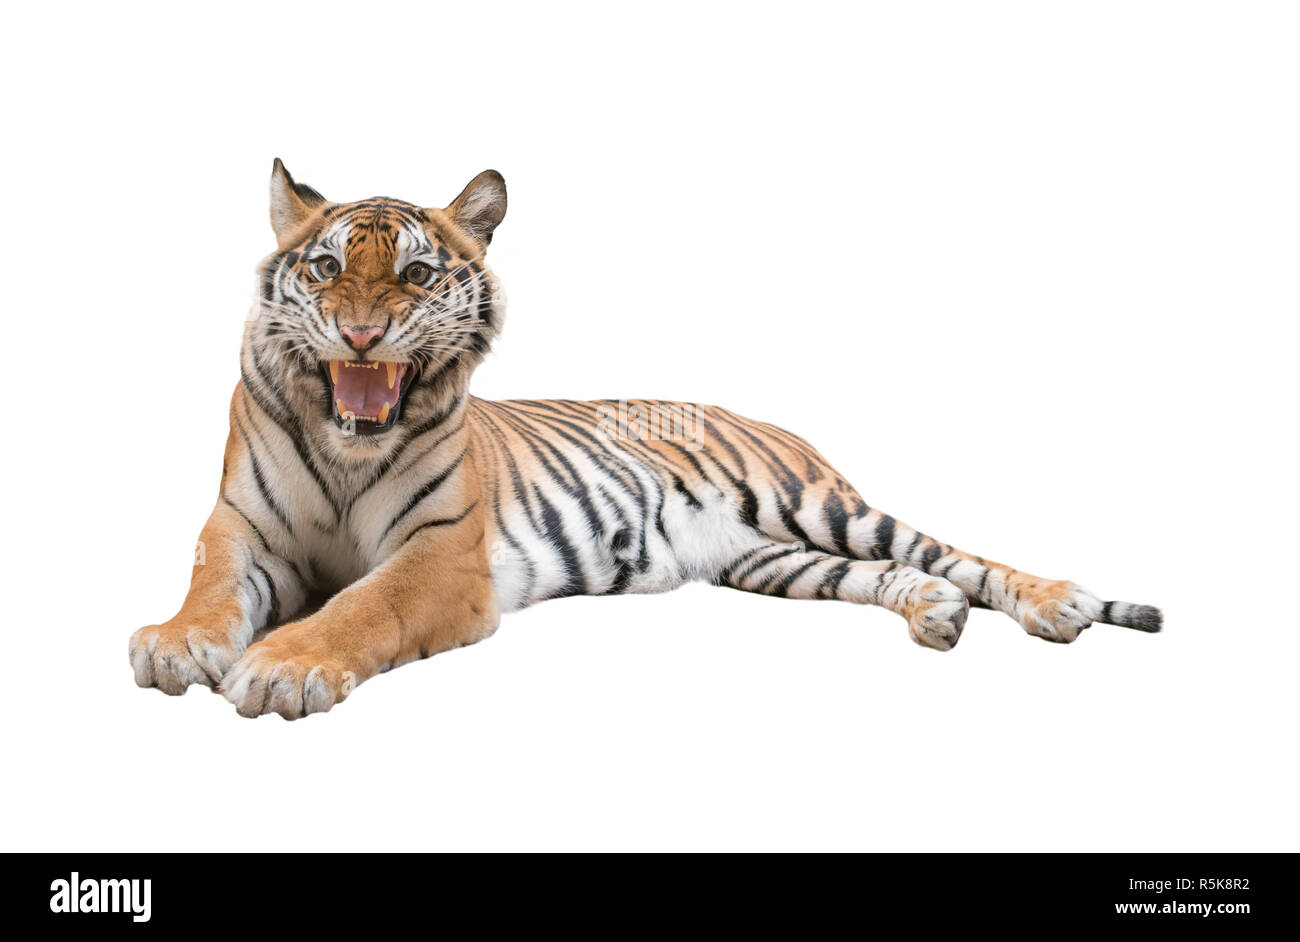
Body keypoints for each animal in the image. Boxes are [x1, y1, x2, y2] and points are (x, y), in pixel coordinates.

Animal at [129, 161, 1162, 719]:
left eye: (418, 275)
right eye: (326, 268)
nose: (358, 334)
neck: (349, 448)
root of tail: (756, 412)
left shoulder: (440, 556)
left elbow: (359, 609)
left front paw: (282, 666)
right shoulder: (238, 531)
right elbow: (209, 593)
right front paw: (175, 648)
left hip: (817, 505)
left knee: (958, 554)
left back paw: (1058, 603)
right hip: (769, 558)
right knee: (898, 574)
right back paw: (936, 613)